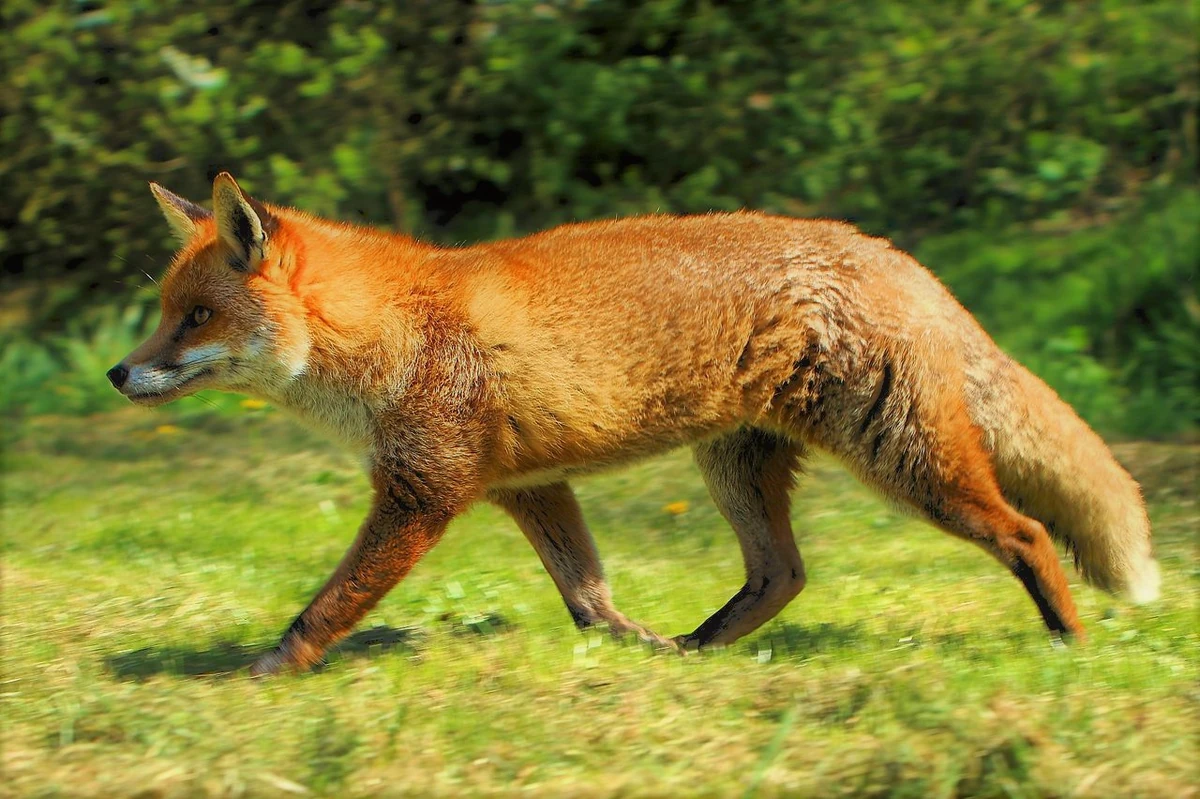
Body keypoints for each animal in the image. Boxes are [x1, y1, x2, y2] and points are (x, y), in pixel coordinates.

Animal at [108, 172, 1160, 675]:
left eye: (194, 317)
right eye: (163, 311)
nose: (120, 372)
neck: (394, 328)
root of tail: (891, 254)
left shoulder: (424, 489)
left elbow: (328, 604)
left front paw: (267, 669)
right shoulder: (528, 487)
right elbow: (588, 597)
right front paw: (632, 650)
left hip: (902, 460)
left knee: (1027, 533)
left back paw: (1069, 645)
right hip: (736, 467)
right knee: (782, 574)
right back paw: (698, 649)